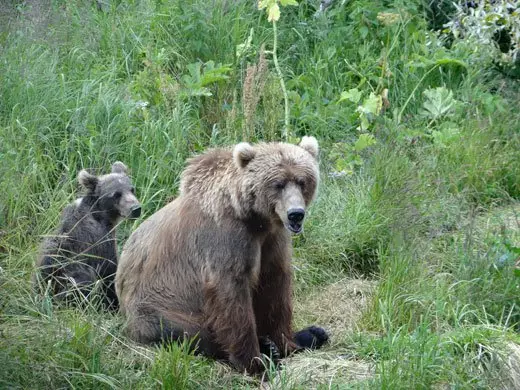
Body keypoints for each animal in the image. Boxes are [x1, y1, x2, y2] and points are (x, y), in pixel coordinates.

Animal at [34, 161, 141, 310]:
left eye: (132, 189)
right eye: (116, 194)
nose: (136, 209)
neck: (103, 216)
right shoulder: (100, 240)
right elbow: (109, 271)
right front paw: (115, 304)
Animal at [115, 137, 328, 372]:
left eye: (302, 181)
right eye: (278, 184)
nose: (295, 214)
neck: (254, 218)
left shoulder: (272, 240)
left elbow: (274, 287)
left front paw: (287, 342)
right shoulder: (227, 240)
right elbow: (232, 295)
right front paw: (255, 361)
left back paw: (313, 333)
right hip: (160, 306)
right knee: (186, 332)